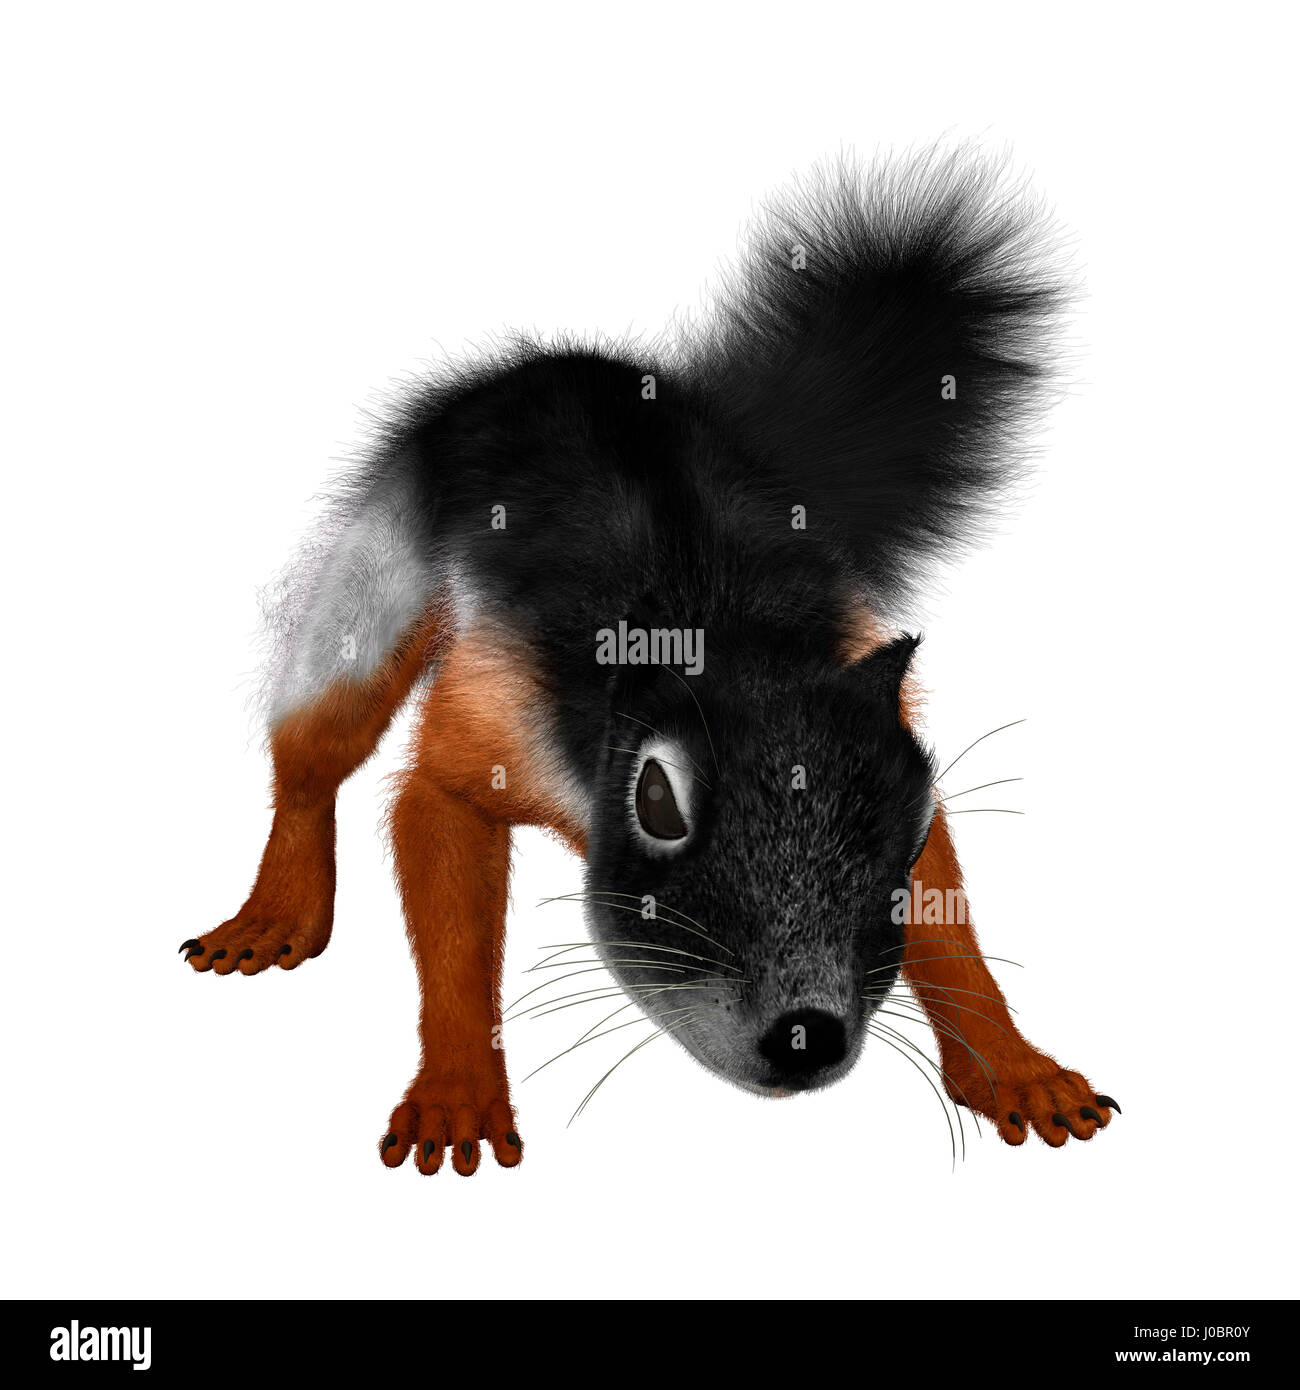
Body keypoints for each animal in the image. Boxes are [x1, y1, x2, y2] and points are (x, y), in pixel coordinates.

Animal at [183, 149, 1119, 1175]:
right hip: (376, 574)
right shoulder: (494, 720)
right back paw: (278, 905)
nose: (807, 1036)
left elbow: (950, 929)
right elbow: (443, 859)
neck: (714, 629)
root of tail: (564, 363)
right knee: (318, 740)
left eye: (899, 820)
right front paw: (458, 1093)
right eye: (657, 802)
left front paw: (1016, 1070)